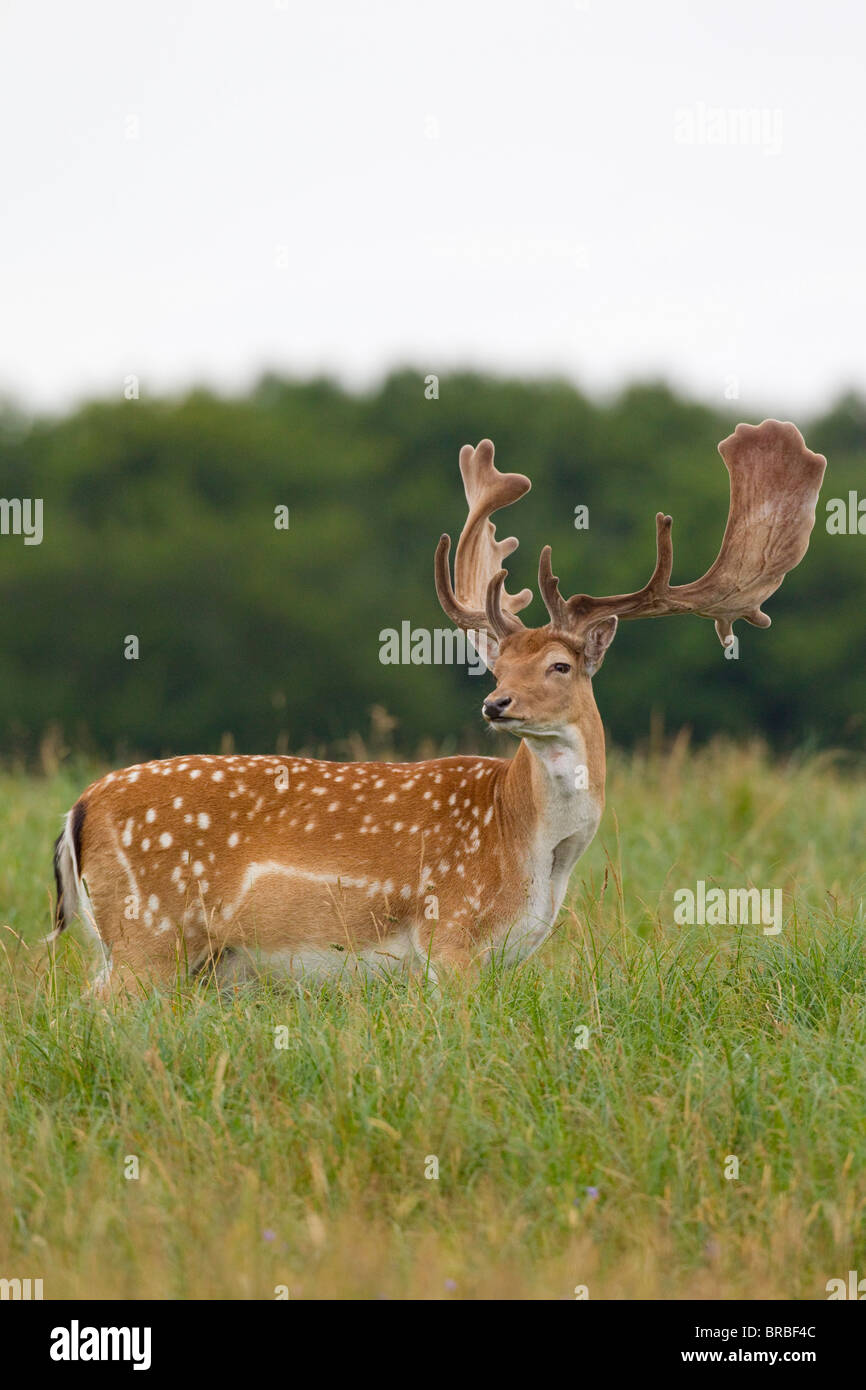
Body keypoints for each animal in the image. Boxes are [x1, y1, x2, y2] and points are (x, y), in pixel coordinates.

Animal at [51, 419, 826, 997]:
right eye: (498, 664)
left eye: (559, 664)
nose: (496, 703)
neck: (534, 851)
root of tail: (79, 807)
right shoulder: (450, 935)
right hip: (150, 934)